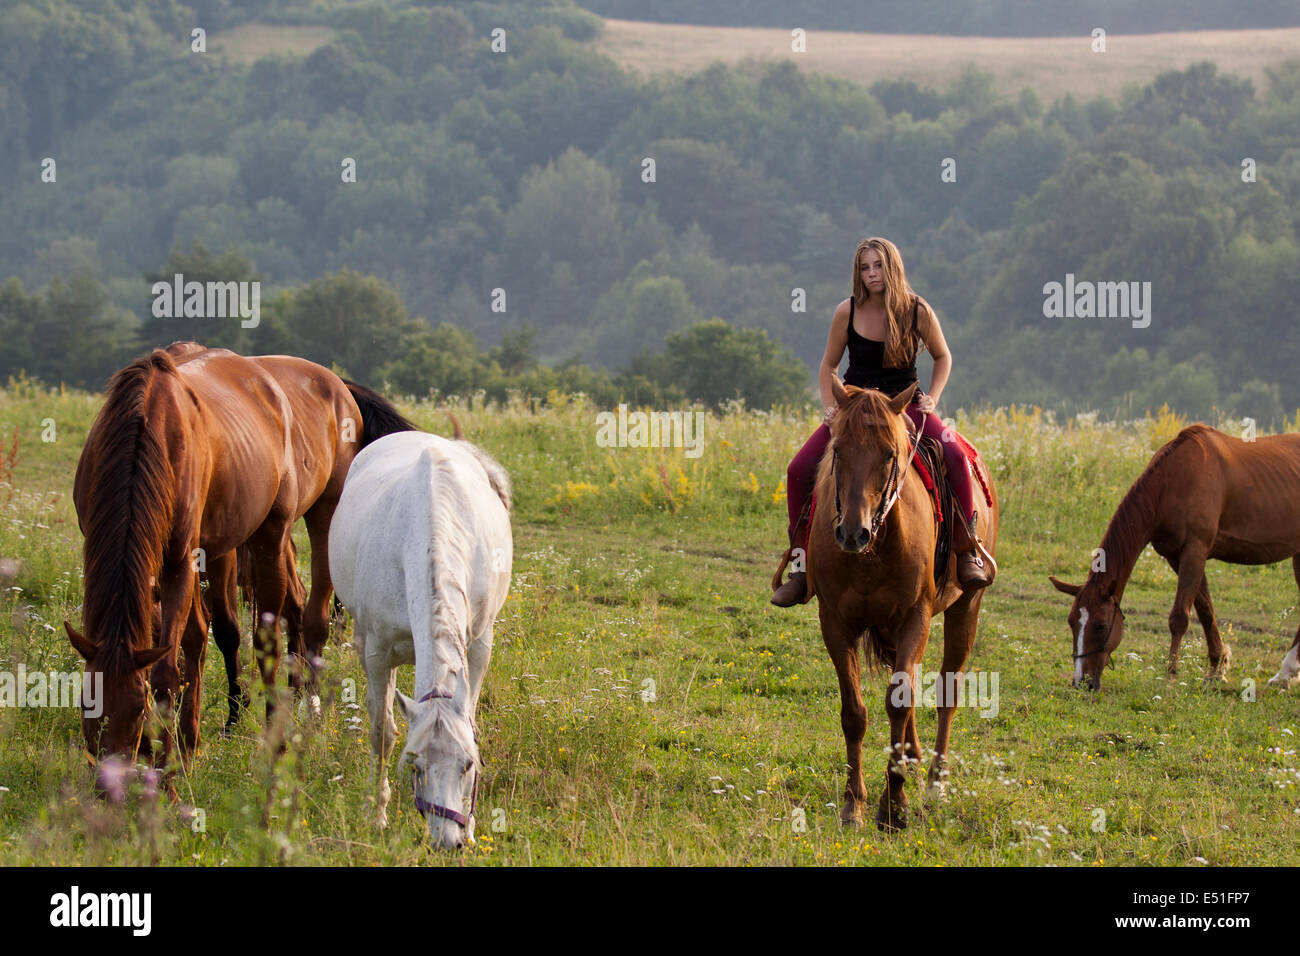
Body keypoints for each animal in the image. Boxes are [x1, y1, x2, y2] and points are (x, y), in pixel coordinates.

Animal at [65, 344, 413, 789]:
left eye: (138, 709)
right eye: (86, 707)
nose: (110, 783)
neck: (145, 430)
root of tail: (335, 387)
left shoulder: (180, 562)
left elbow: (168, 668)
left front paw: (170, 764)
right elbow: (195, 640)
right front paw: (187, 743)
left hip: (301, 523)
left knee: (298, 624)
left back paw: (295, 724)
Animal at [328, 429, 512, 849]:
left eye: (467, 764)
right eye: (416, 765)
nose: (448, 842)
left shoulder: (480, 645)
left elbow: (471, 720)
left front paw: (473, 827)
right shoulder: (378, 654)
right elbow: (381, 732)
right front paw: (377, 813)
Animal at [807, 378, 999, 831]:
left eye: (889, 454)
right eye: (838, 450)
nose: (853, 533)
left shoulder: (916, 617)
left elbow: (900, 702)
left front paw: (894, 805)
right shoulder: (835, 623)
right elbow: (855, 712)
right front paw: (854, 804)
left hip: (966, 608)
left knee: (947, 692)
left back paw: (934, 782)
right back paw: (911, 759)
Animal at [1049, 423, 1300, 691]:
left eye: (1100, 626)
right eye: (1071, 622)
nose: (1081, 682)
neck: (1174, 481)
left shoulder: (1195, 551)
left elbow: (1180, 617)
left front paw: (1170, 676)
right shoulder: (1176, 557)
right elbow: (1206, 611)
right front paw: (1216, 669)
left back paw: (1285, 672)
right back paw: (1285, 674)